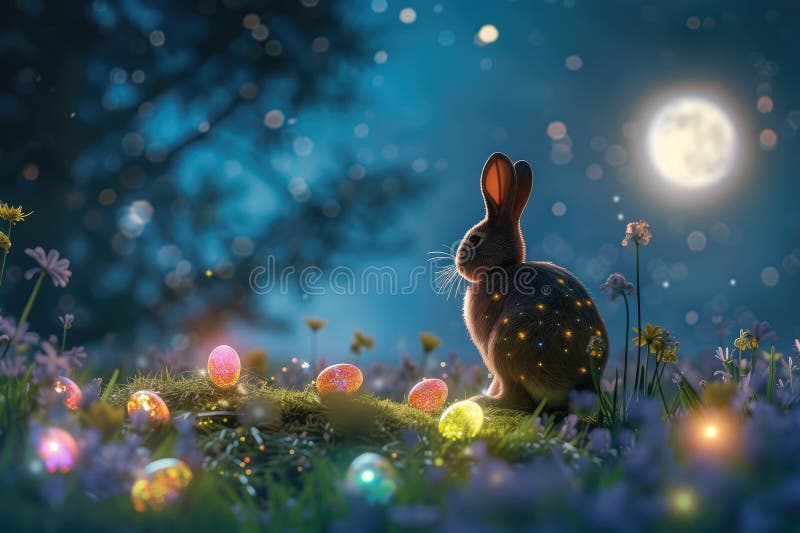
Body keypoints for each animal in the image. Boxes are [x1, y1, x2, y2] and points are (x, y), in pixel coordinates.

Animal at [456, 152, 608, 411]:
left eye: (474, 240)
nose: (458, 262)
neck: (502, 266)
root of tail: (577, 387)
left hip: (504, 347)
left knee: (515, 397)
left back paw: (481, 400)